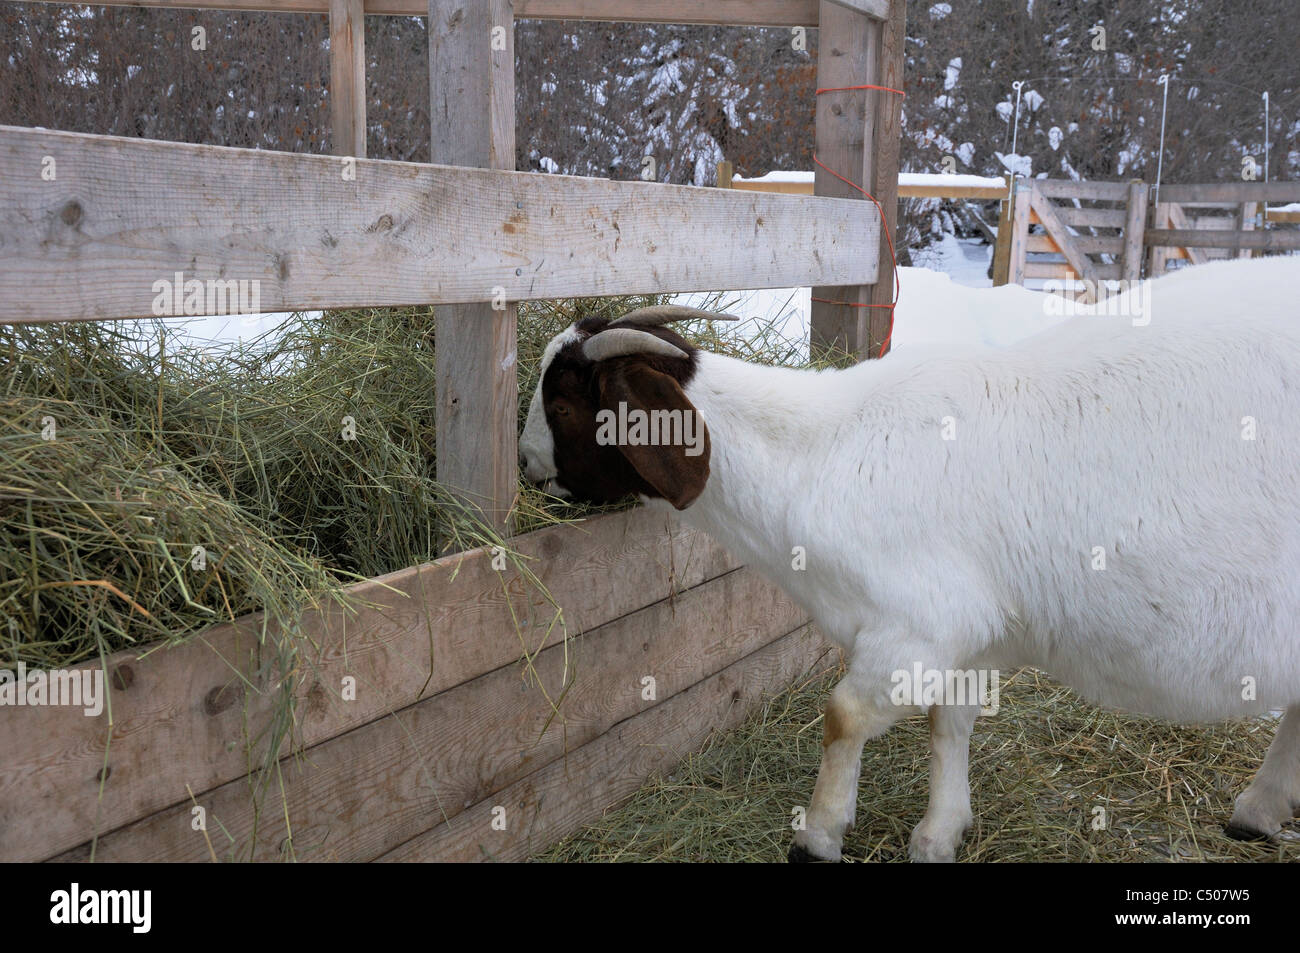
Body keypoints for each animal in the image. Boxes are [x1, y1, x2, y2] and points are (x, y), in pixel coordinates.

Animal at [519, 258, 1300, 862]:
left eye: (562, 406)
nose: (525, 466)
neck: (822, 455)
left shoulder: (919, 622)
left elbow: (844, 715)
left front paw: (818, 836)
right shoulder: (971, 634)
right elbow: (949, 722)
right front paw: (938, 833)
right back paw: (1258, 811)